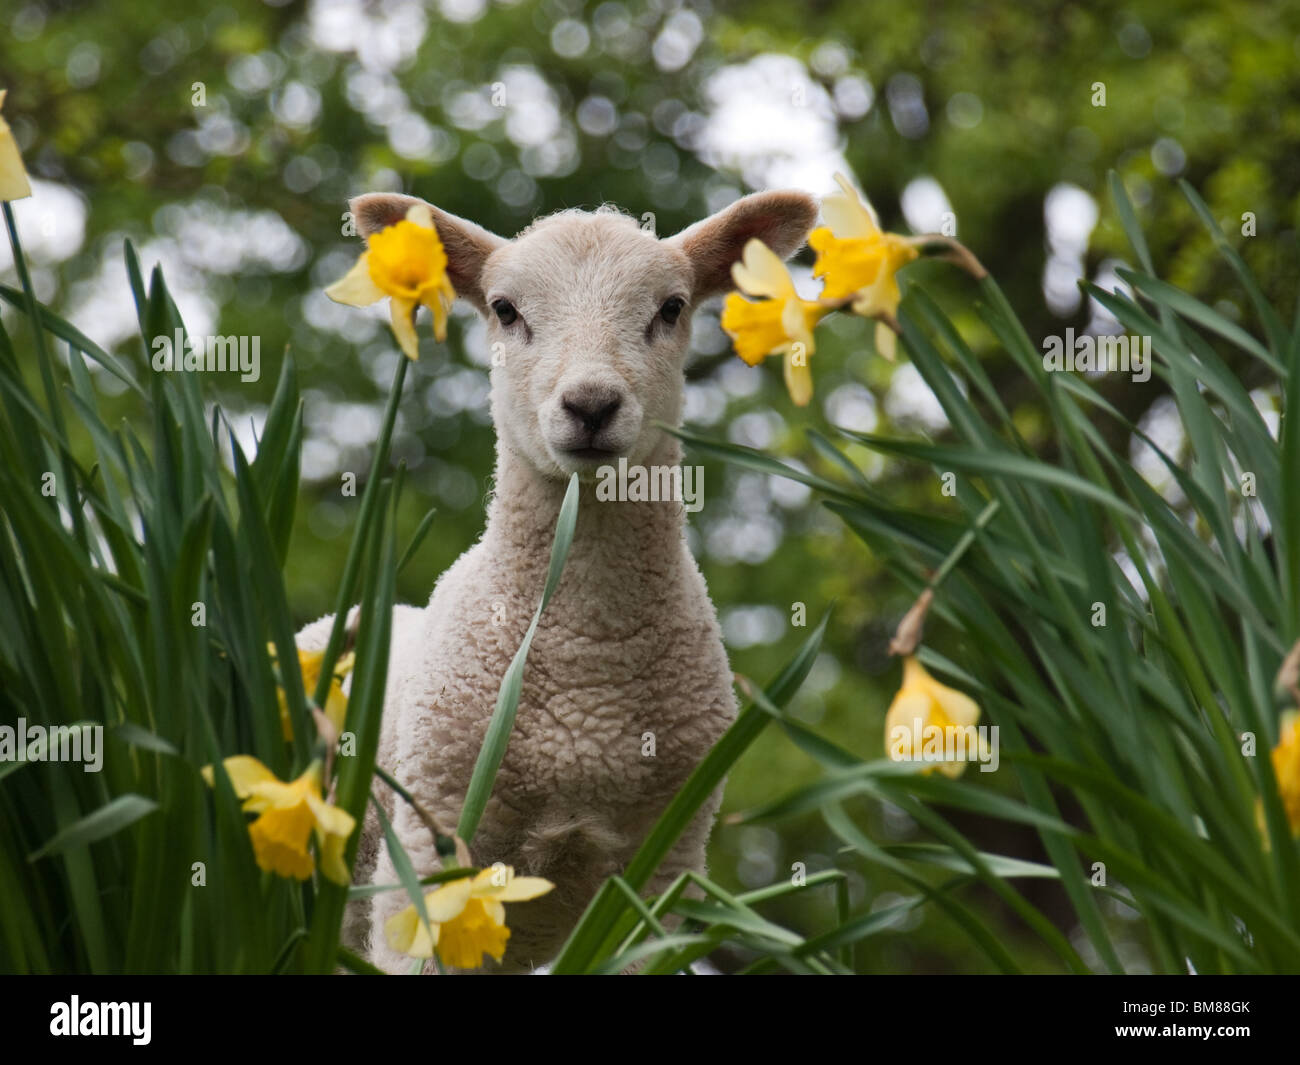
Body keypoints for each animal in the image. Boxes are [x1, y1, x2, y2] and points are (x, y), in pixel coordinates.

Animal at [297, 188, 818, 972]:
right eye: (506, 309)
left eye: (671, 307)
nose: (592, 405)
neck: (586, 670)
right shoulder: (428, 849)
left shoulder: (661, 874)